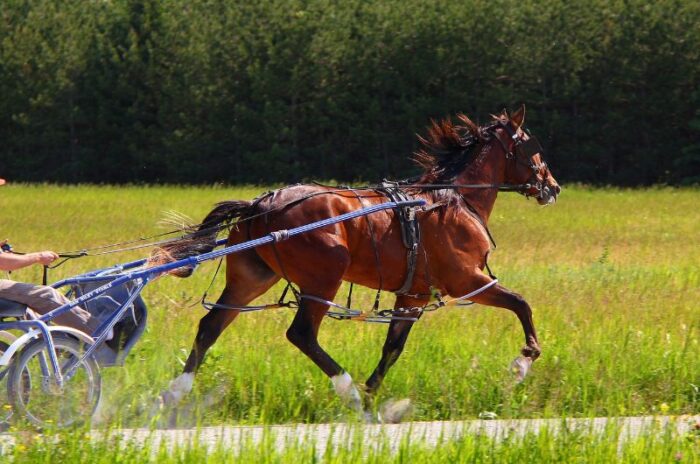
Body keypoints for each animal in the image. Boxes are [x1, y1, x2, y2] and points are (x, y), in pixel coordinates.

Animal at [153, 105, 560, 421]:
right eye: (532, 146)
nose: (553, 187)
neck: (453, 200)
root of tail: (260, 204)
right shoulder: (467, 281)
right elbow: (522, 304)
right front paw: (523, 362)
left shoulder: (412, 296)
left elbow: (392, 349)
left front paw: (370, 397)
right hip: (324, 276)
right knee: (301, 334)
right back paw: (346, 391)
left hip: (253, 276)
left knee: (211, 326)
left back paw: (173, 395)